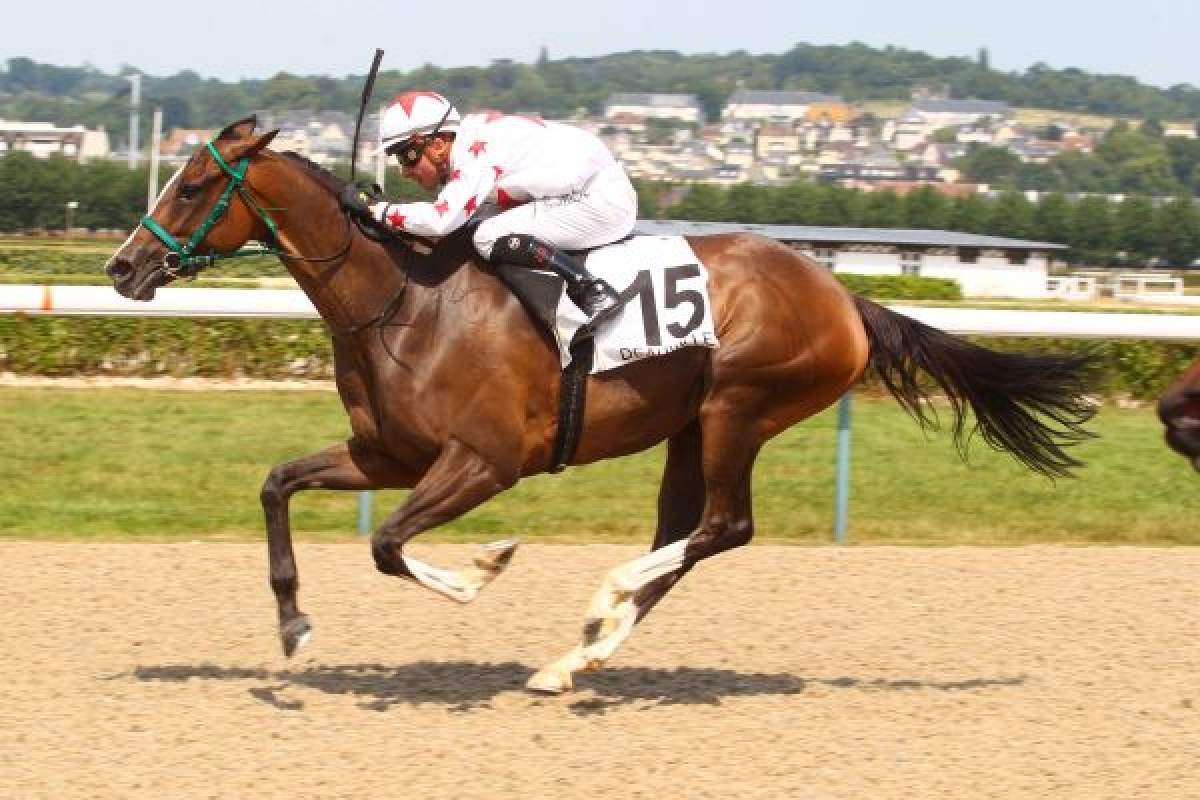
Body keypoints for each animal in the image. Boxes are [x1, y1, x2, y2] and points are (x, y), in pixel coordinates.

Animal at [104, 117, 1096, 693]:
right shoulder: (388, 455)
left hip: (741, 408)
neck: (404, 300)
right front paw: (293, 627)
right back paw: (576, 655)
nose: (122, 266)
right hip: (691, 428)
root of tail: (844, 296)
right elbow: (278, 487)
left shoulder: (485, 462)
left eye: (193, 186)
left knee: (724, 528)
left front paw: (484, 569)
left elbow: (389, 544)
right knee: (687, 538)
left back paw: (603, 599)